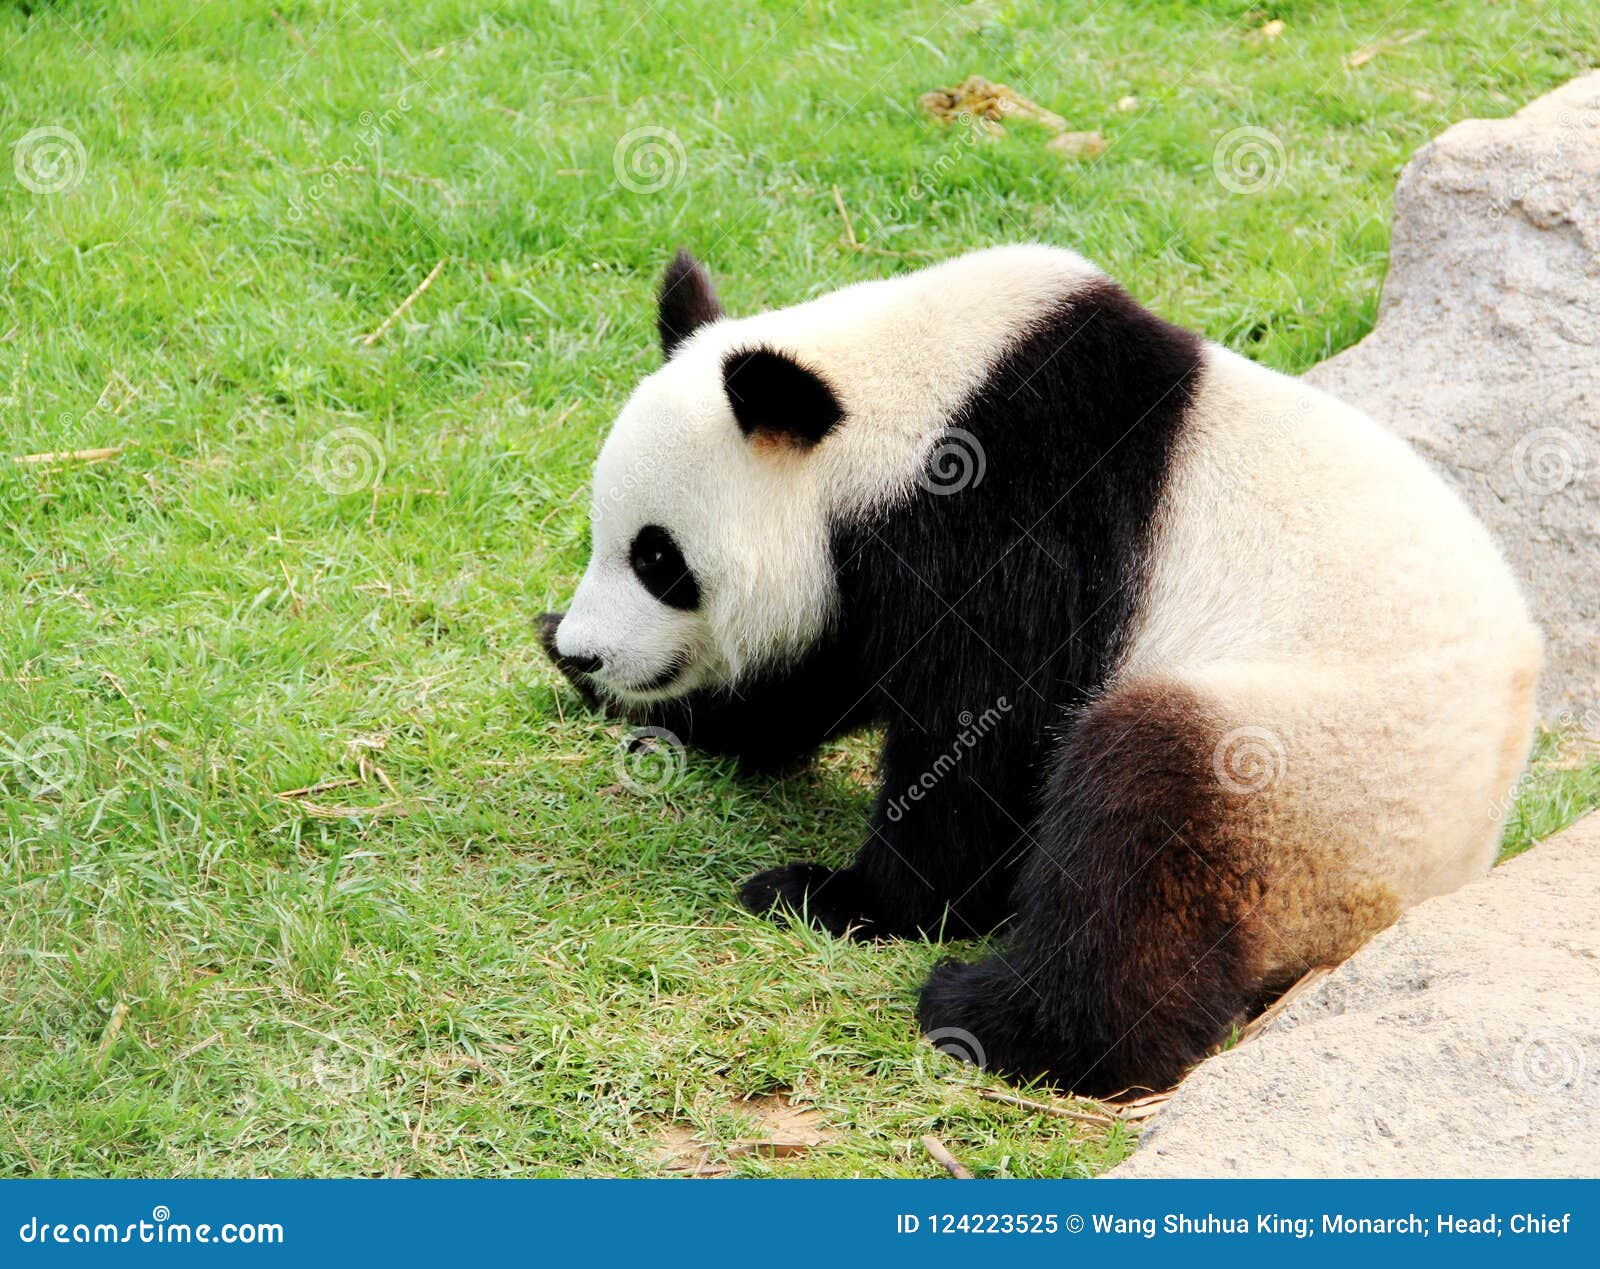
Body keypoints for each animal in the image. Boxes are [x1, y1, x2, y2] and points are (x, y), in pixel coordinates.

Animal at [542, 244, 1541, 1097]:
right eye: (604, 534)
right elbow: (826, 665)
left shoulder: (1013, 516)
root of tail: (1434, 884)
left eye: (659, 560)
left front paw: (840, 896)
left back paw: (1003, 1020)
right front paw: (636, 697)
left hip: (1316, 772)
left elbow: (986, 740)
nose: (589, 647)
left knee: (1144, 815)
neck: (904, 401)